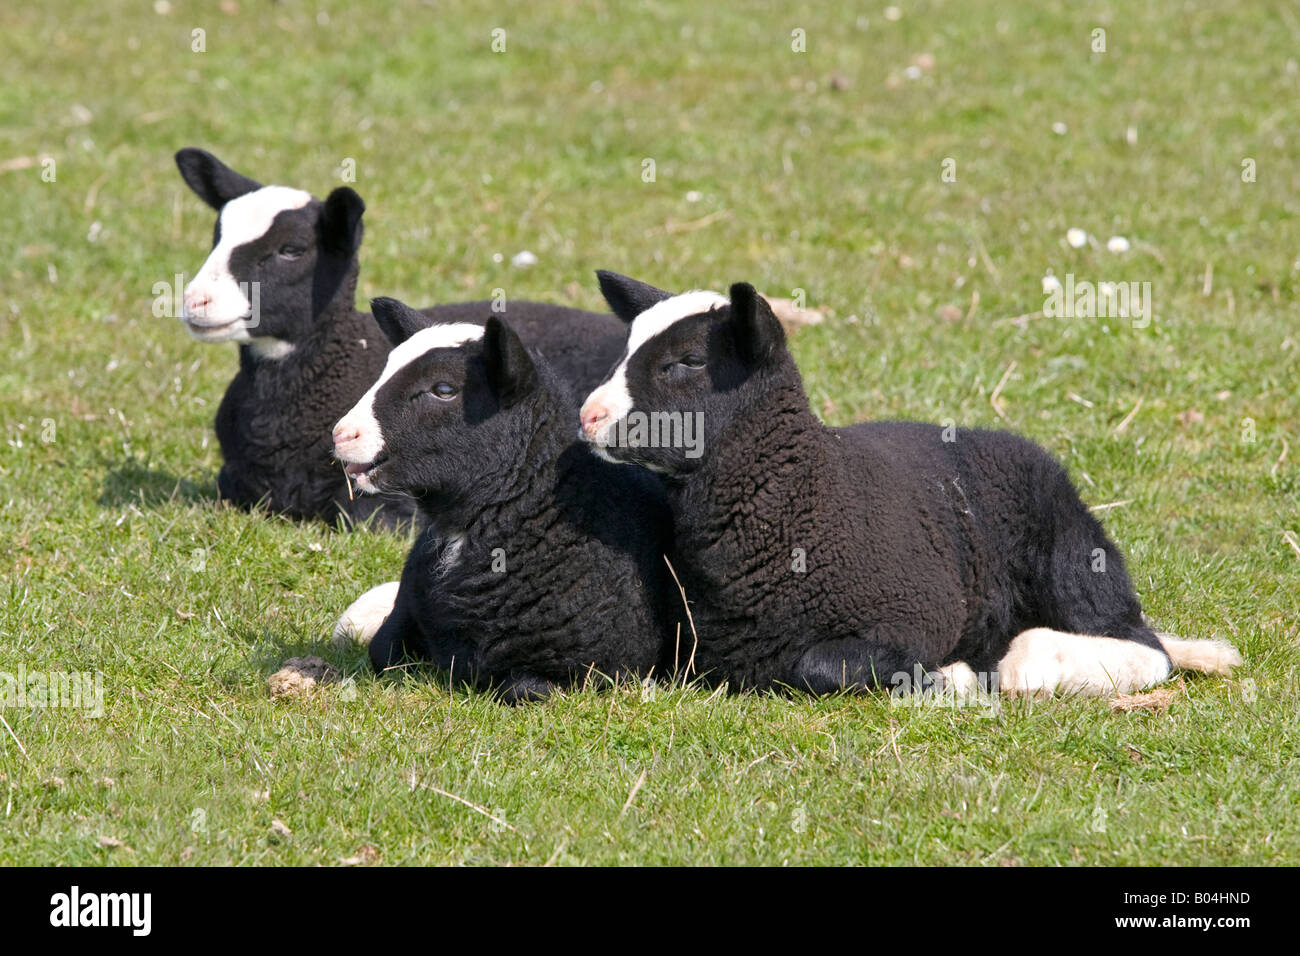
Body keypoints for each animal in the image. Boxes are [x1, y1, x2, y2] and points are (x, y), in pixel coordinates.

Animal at [578, 271, 1242, 697]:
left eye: (690, 361)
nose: (587, 415)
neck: (811, 495)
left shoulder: (913, 618)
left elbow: (820, 666)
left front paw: (950, 678)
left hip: (1072, 561)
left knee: (1145, 649)